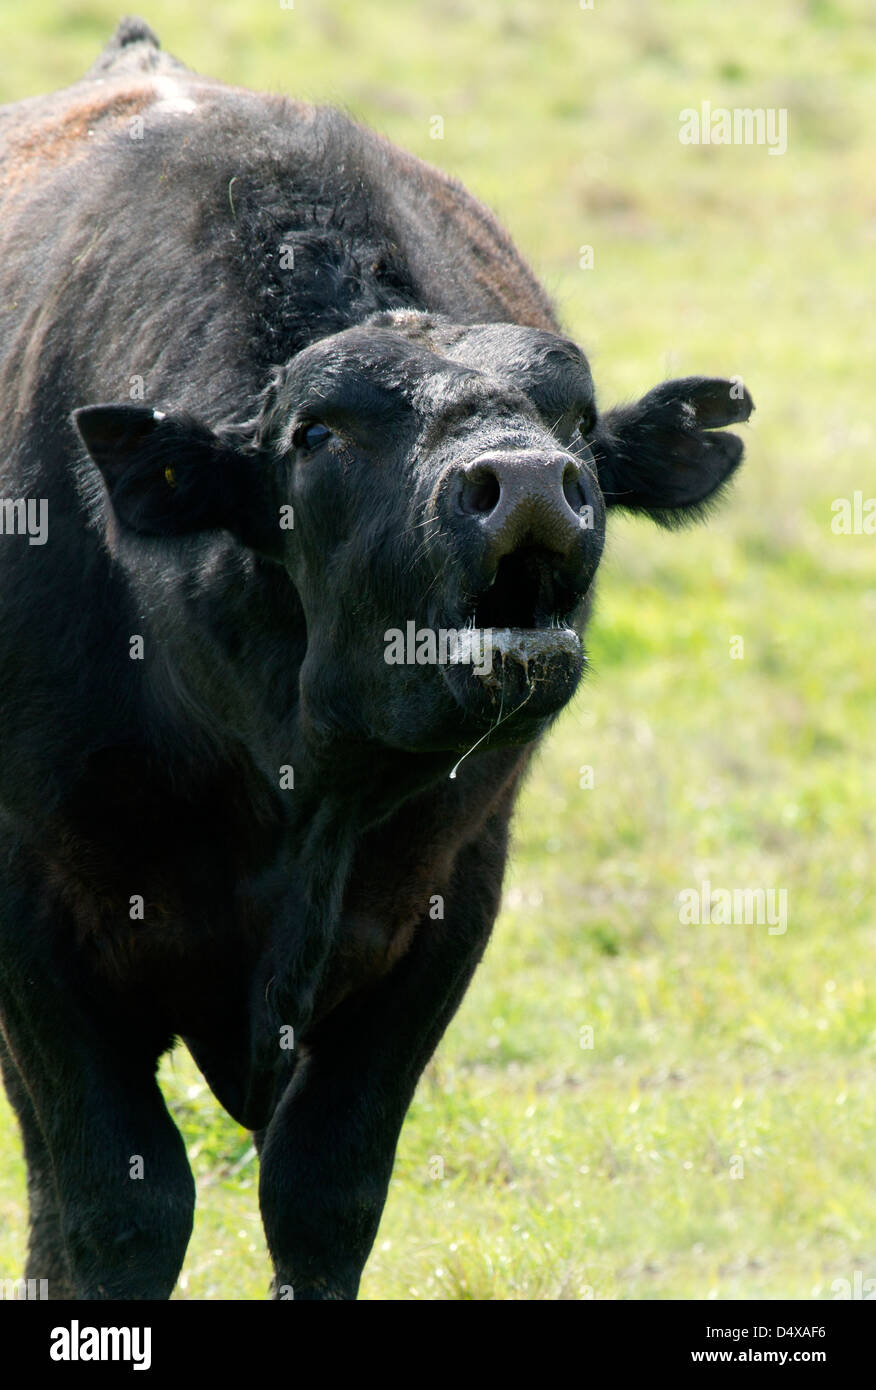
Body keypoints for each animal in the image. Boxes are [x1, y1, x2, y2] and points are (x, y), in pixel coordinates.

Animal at [0, 19, 753, 1300]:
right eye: (317, 434)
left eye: (576, 422)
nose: (529, 481)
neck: (301, 784)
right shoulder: (30, 916)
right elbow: (114, 1202)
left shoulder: (449, 898)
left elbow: (324, 1190)